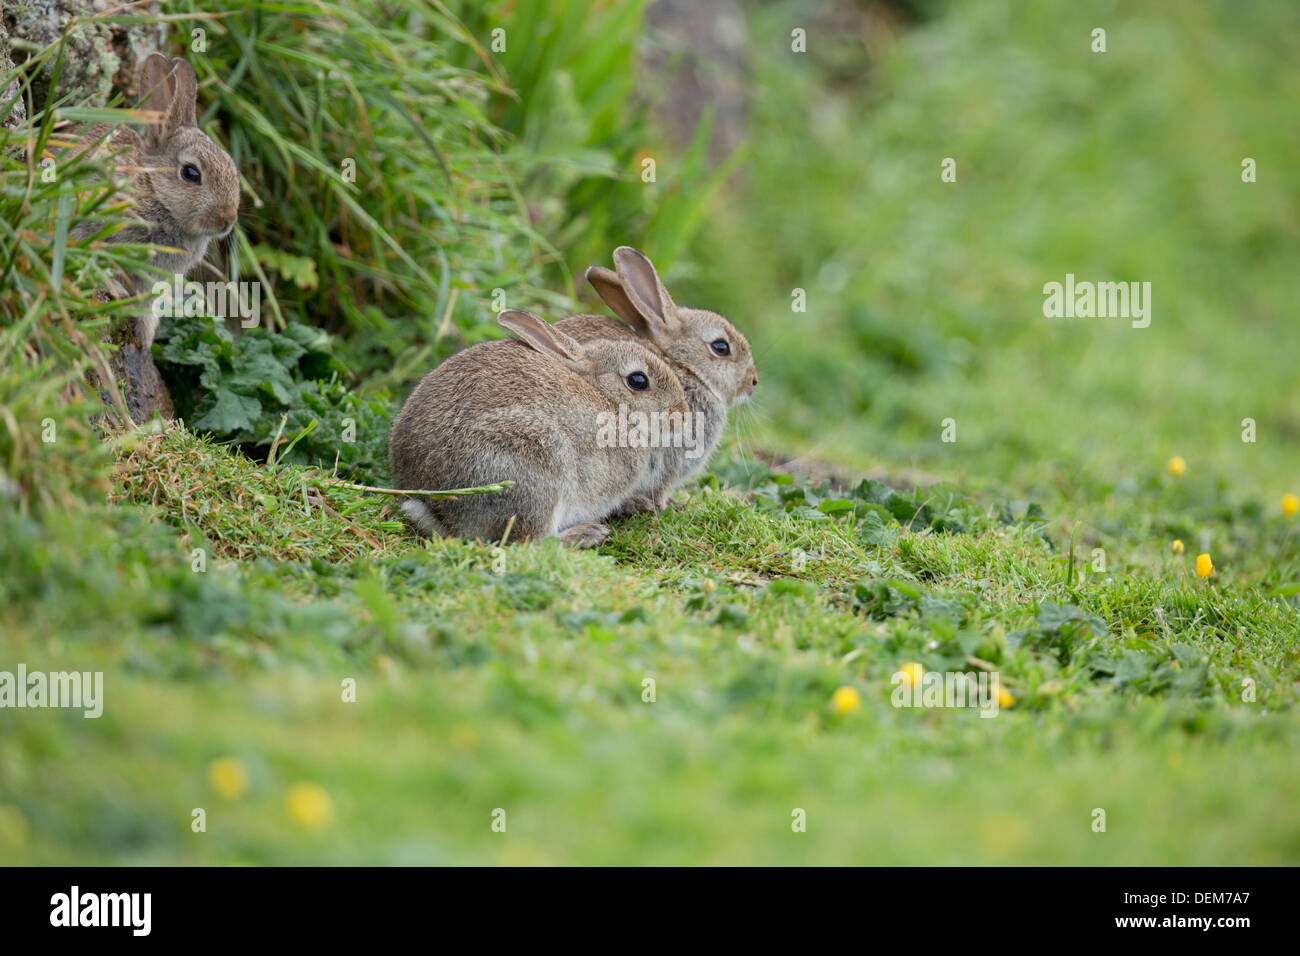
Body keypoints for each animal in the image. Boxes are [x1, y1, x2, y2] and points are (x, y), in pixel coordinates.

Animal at [66, 52, 241, 348]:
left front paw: (145, 338)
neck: (156, 195)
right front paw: (115, 289)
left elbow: (146, 306)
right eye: (191, 173)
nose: (227, 219)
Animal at [388, 309, 690, 548]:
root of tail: (441, 509)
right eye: (638, 380)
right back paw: (586, 534)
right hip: (536, 471)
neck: (608, 399)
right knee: (529, 541)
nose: (683, 415)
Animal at [554, 246, 757, 512]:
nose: (753, 382)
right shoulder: (670, 456)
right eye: (721, 347)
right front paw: (666, 505)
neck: (685, 367)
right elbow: (660, 485)